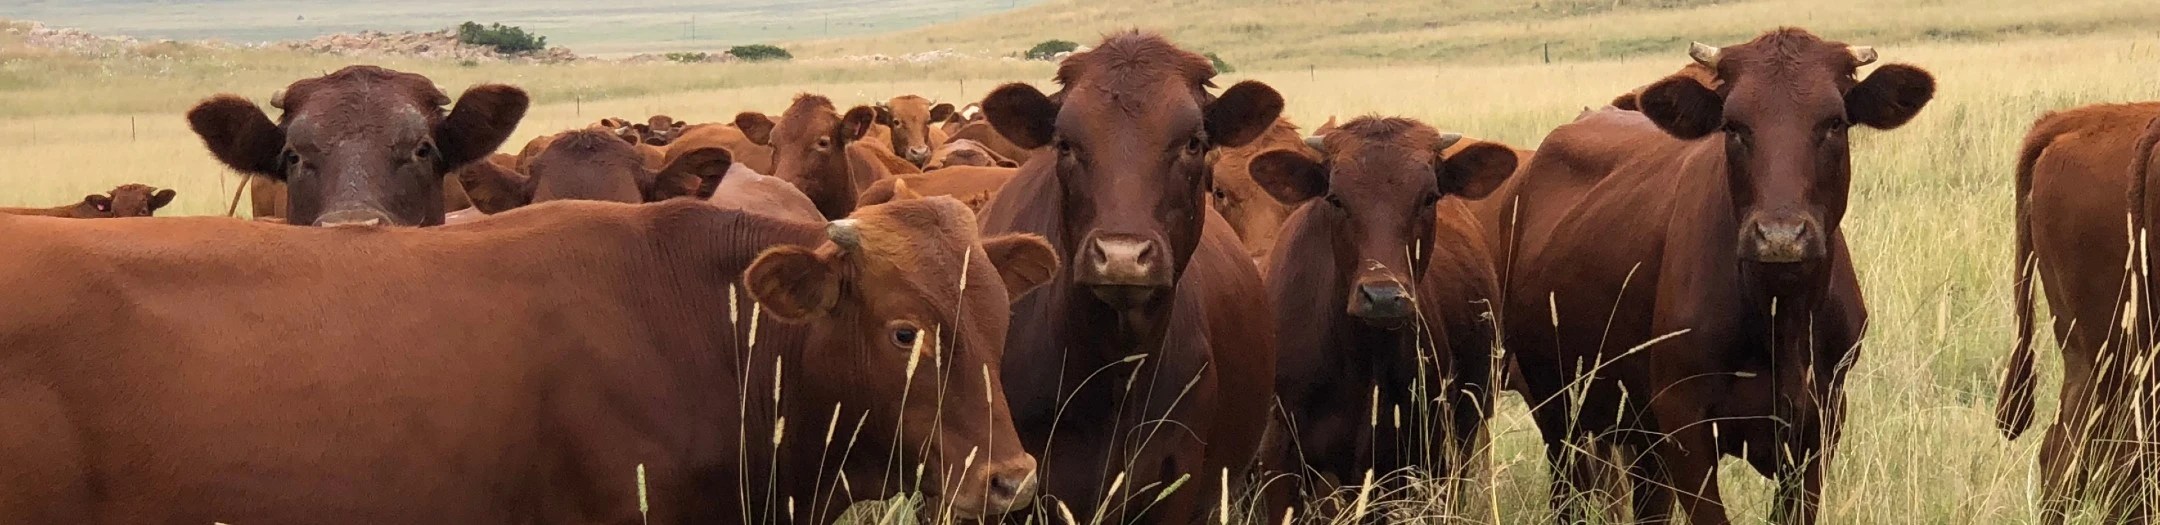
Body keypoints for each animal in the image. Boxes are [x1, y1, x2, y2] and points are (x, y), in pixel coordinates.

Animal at [1249, 117, 1516, 516]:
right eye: (1335, 198)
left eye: (1429, 197)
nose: (1384, 298)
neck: (1358, 362)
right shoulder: (1280, 456)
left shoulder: (1417, 459)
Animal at [1486, 29, 1933, 524]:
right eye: (1733, 125)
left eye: (1835, 122)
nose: (1780, 236)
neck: (1780, 319)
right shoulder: (1684, 424)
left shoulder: (1821, 423)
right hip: (1558, 410)